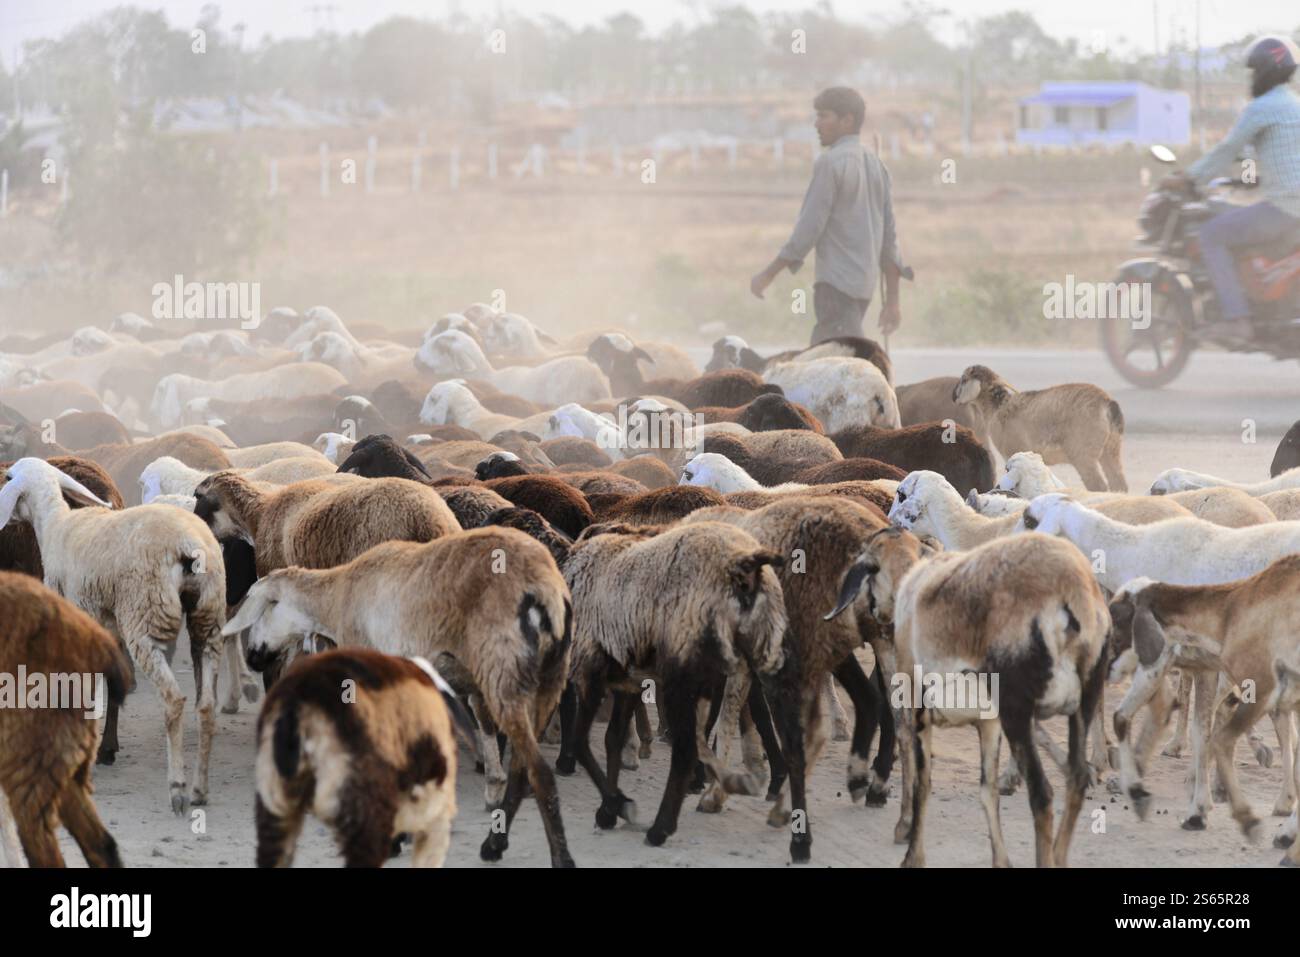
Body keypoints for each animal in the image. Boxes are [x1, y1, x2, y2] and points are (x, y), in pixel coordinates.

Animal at [0, 458, 228, 812]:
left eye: (9, 477)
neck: (55, 524)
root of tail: (189, 548)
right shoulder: (105, 623)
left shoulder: (80, 612)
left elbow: (81, 689)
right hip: (208, 617)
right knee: (205, 705)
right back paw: (200, 789)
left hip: (145, 613)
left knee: (173, 699)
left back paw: (177, 787)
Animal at [562, 522, 795, 856]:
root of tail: (745, 565)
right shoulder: (629, 682)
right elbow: (612, 740)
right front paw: (608, 811)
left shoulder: (590, 670)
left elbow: (580, 742)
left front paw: (619, 805)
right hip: (756, 658)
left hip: (682, 675)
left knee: (685, 752)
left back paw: (660, 828)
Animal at [826, 527, 1110, 867]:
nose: (875, 613)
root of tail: (1071, 592)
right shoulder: (988, 723)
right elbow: (987, 792)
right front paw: (1000, 860)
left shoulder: (918, 710)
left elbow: (921, 780)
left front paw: (909, 844)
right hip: (1082, 702)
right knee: (1076, 780)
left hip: (1016, 708)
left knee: (1042, 795)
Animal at [953, 364, 1127, 492]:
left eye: (964, 379)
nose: (953, 396)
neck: (997, 408)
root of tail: (1108, 404)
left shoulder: (1012, 451)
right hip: (1111, 449)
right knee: (1119, 484)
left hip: (1084, 453)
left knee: (1098, 485)